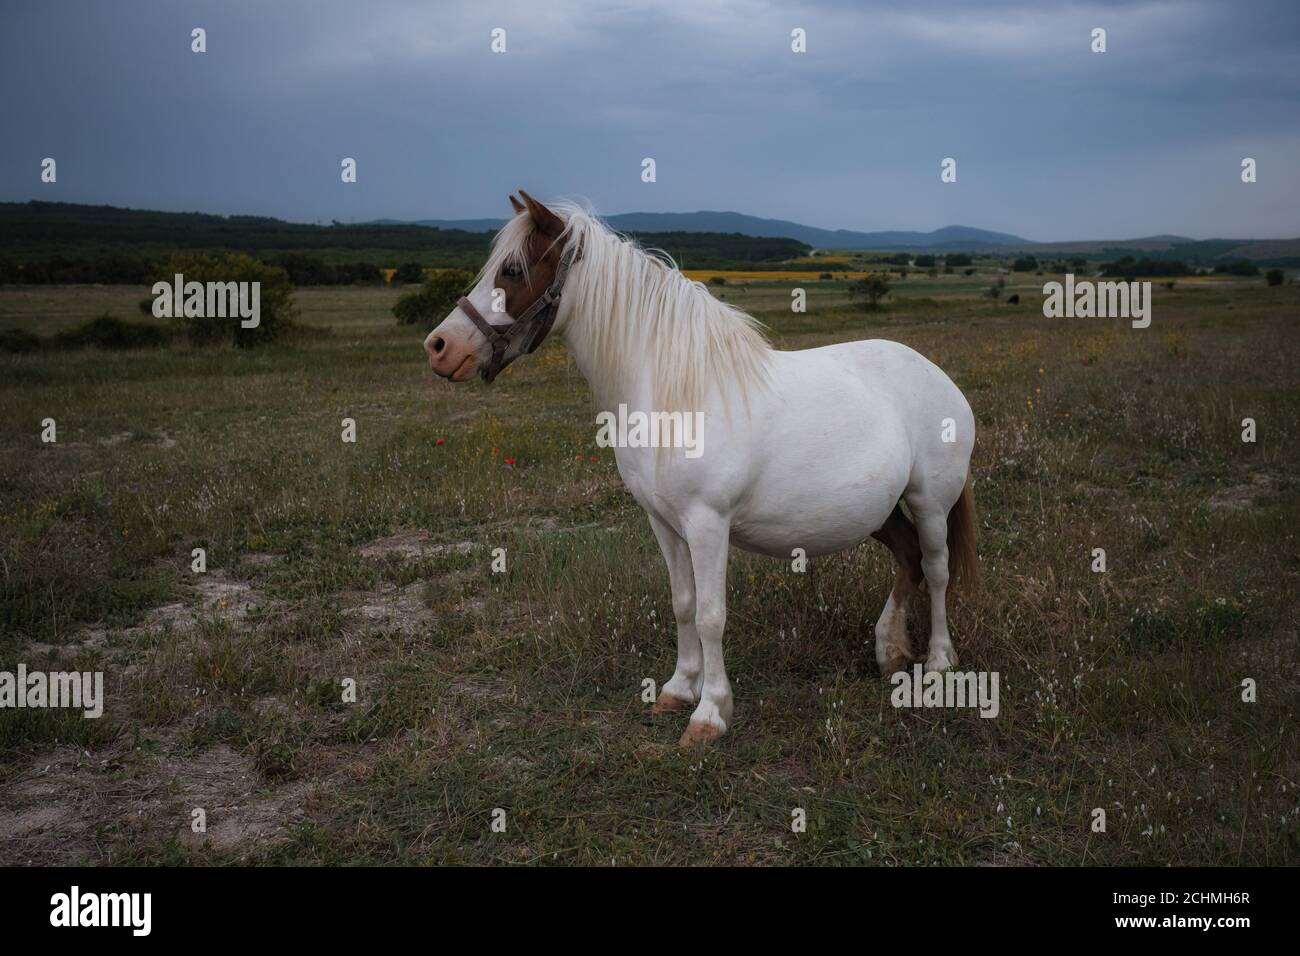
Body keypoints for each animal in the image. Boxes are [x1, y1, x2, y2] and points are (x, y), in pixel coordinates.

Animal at [425, 191, 978, 746]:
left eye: (513, 270)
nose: (439, 347)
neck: (675, 394)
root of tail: (938, 375)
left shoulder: (708, 523)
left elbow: (712, 615)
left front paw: (710, 713)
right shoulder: (664, 523)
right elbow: (683, 603)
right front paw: (677, 689)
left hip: (930, 503)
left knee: (935, 569)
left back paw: (939, 661)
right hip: (879, 511)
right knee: (908, 560)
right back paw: (890, 651)